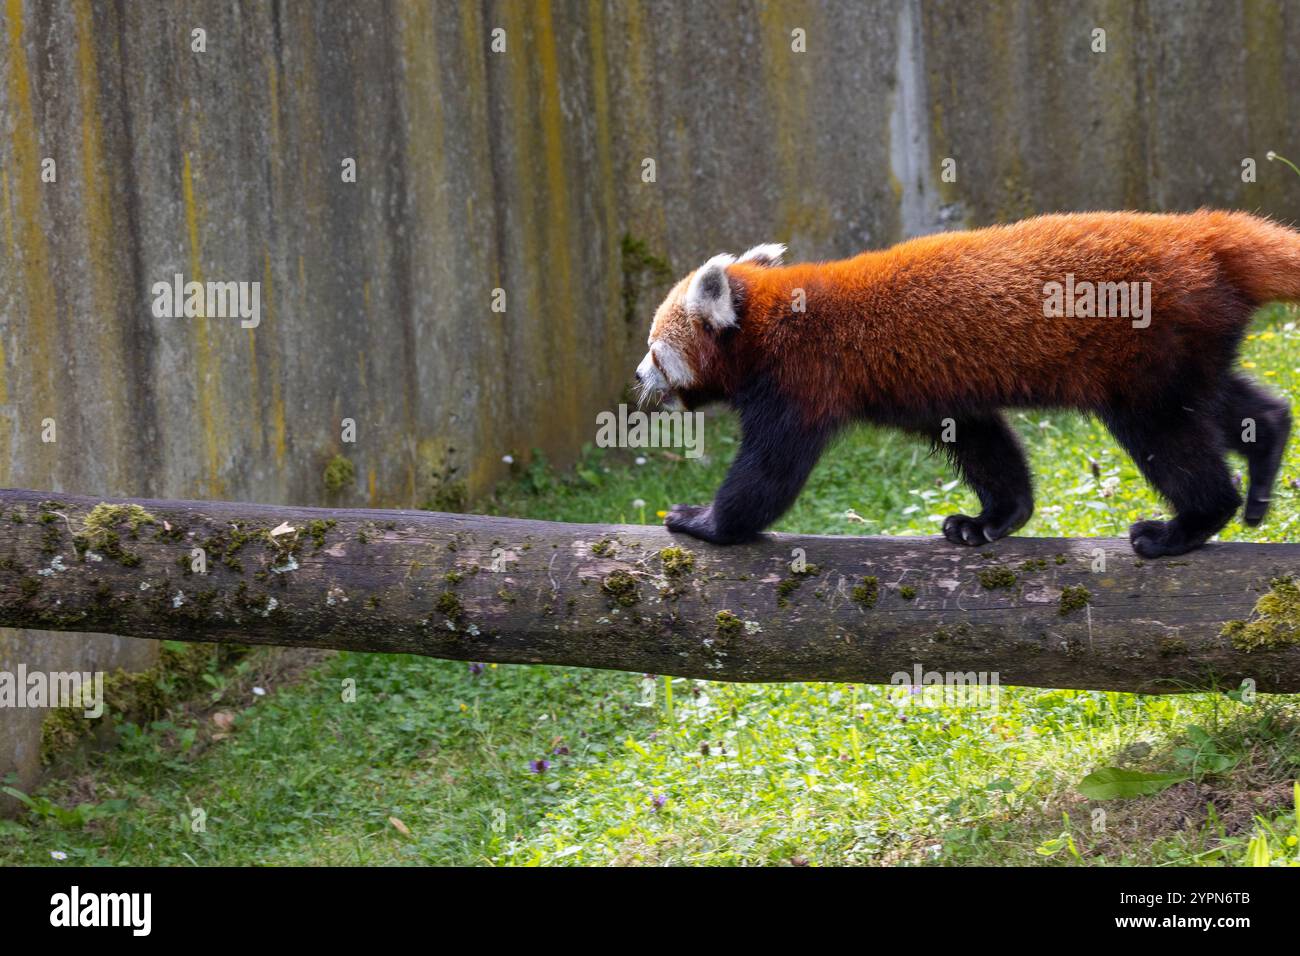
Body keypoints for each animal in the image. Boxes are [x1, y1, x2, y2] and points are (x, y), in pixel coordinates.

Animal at [634, 210, 1298, 558]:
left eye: (653, 351)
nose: (637, 377)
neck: (771, 320)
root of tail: (1199, 231)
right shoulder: (928, 392)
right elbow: (985, 445)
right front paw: (994, 519)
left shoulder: (802, 381)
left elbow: (767, 476)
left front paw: (706, 521)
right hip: (1185, 346)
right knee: (1226, 404)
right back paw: (1266, 451)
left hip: (1143, 355)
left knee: (1169, 437)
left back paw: (1186, 525)